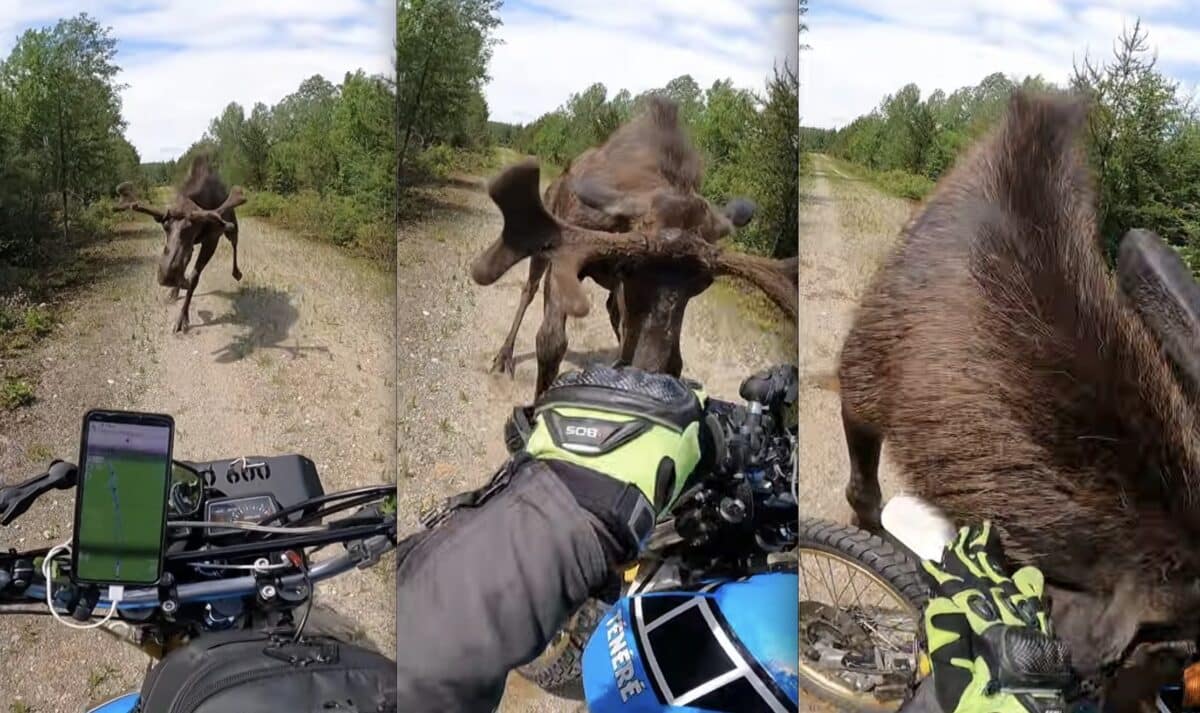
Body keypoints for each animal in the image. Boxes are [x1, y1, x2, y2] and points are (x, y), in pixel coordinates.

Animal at [115, 154, 246, 333]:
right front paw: (175, 291)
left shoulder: (211, 240)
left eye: (192, 228)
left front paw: (182, 317)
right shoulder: (189, 248)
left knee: (235, 243)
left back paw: (236, 272)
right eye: (164, 226)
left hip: (231, 227)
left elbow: (194, 277)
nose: (167, 276)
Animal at [473, 97, 798, 395]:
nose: (653, 370)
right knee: (528, 290)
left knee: (612, 311)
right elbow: (550, 342)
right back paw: (504, 356)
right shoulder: (566, 260)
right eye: (631, 268)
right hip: (542, 246)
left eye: (703, 284)